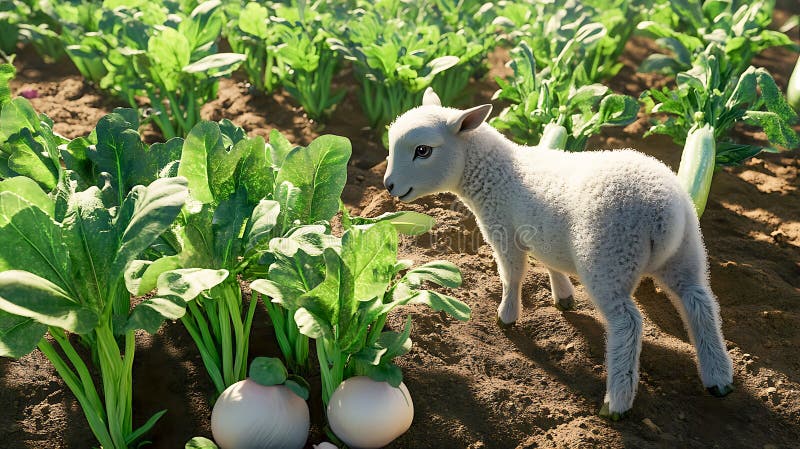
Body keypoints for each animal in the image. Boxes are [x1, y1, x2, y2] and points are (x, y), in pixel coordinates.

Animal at [382, 88, 734, 419]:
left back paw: (617, 401)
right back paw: (718, 378)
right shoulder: (544, 234)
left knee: (628, 323)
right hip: (686, 251)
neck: (494, 174)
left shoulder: (503, 231)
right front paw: (563, 297)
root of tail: (661, 213)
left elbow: (512, 275)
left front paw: (506, 316)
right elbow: (550, 263)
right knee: (700, 303)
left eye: (423, 150)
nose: (388, 186)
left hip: (609, 257)